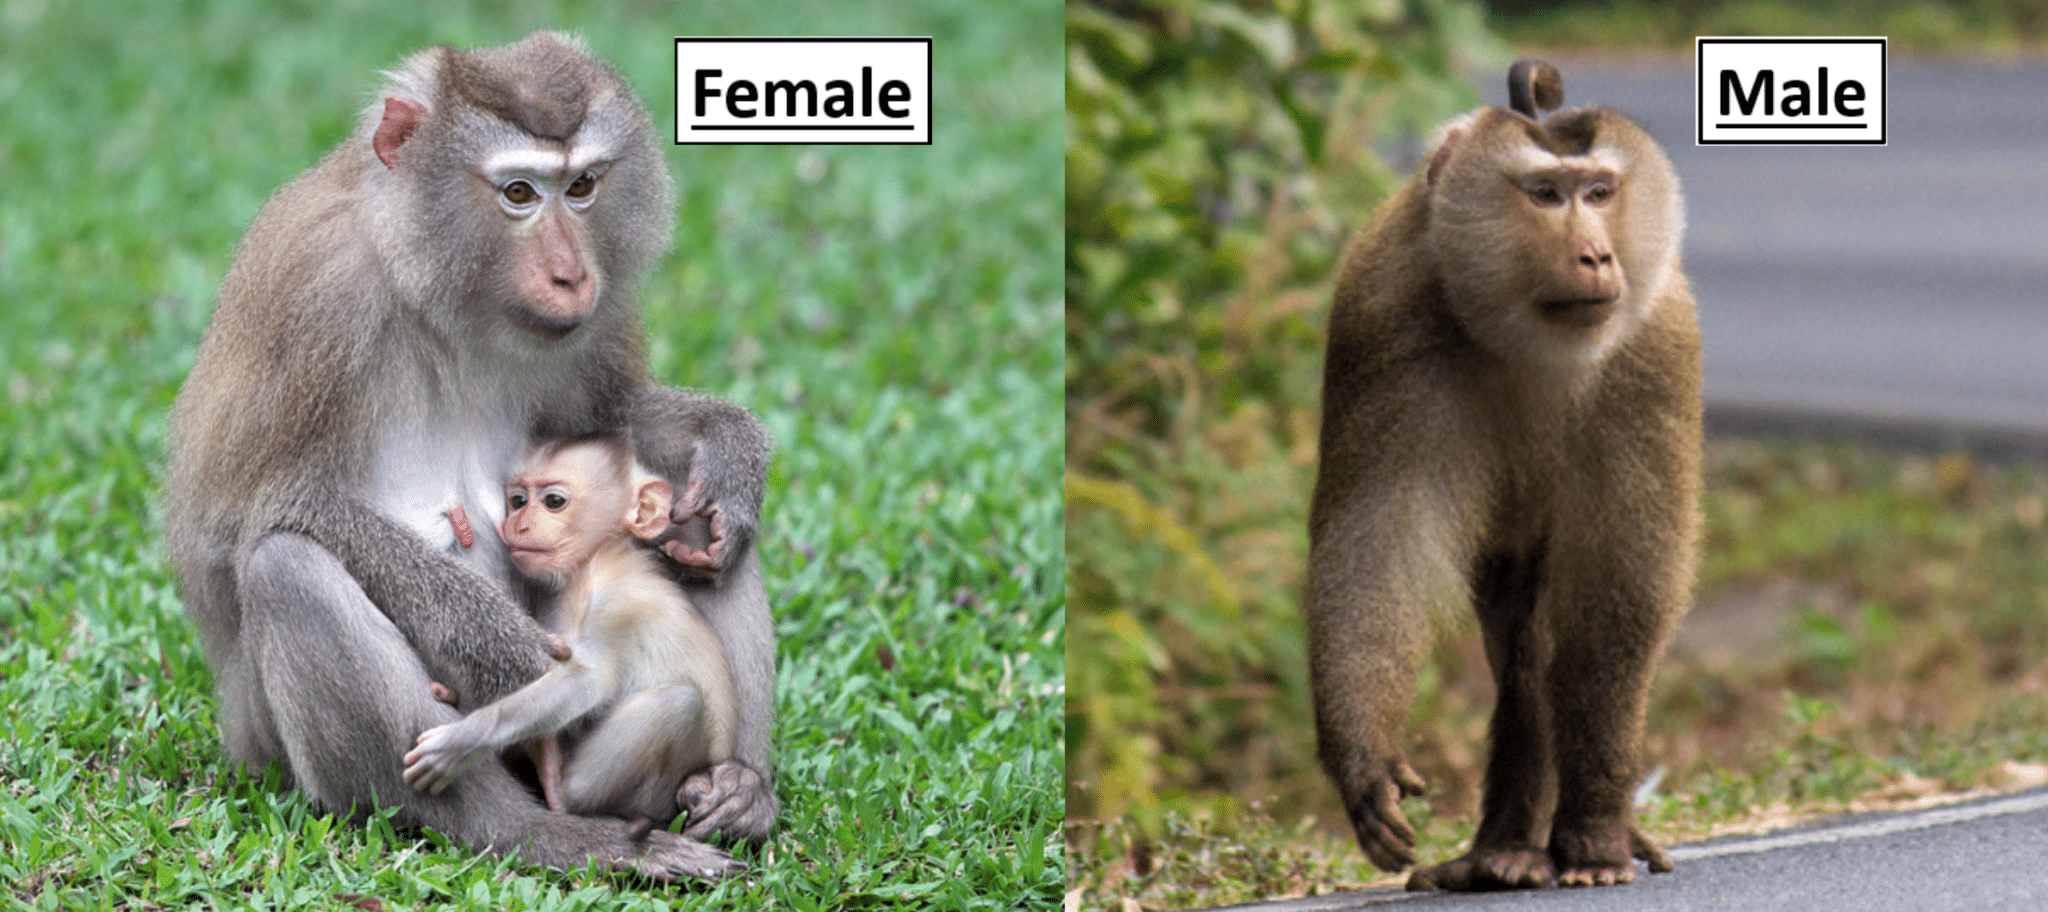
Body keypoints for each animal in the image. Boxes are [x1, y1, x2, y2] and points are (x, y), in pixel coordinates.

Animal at [404, 434, 738, 825]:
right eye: (518, 502)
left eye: (553, 502)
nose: (519, 525)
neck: (600, 556)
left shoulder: (611, 599)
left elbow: (585, 682)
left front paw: (462, 740)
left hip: (654, 798)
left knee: (680, 702)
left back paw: (558, 785)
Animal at [1304, 58, 1697, 891]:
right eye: (1545, 195)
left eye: (1600, 192)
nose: (1596, 255)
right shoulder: (1380, 312)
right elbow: (1377, 544)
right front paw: (1365, 765)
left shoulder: (1658, 342)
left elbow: (1623, 580)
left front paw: (1595, 834)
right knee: (1520, 646)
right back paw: (1506, 848)